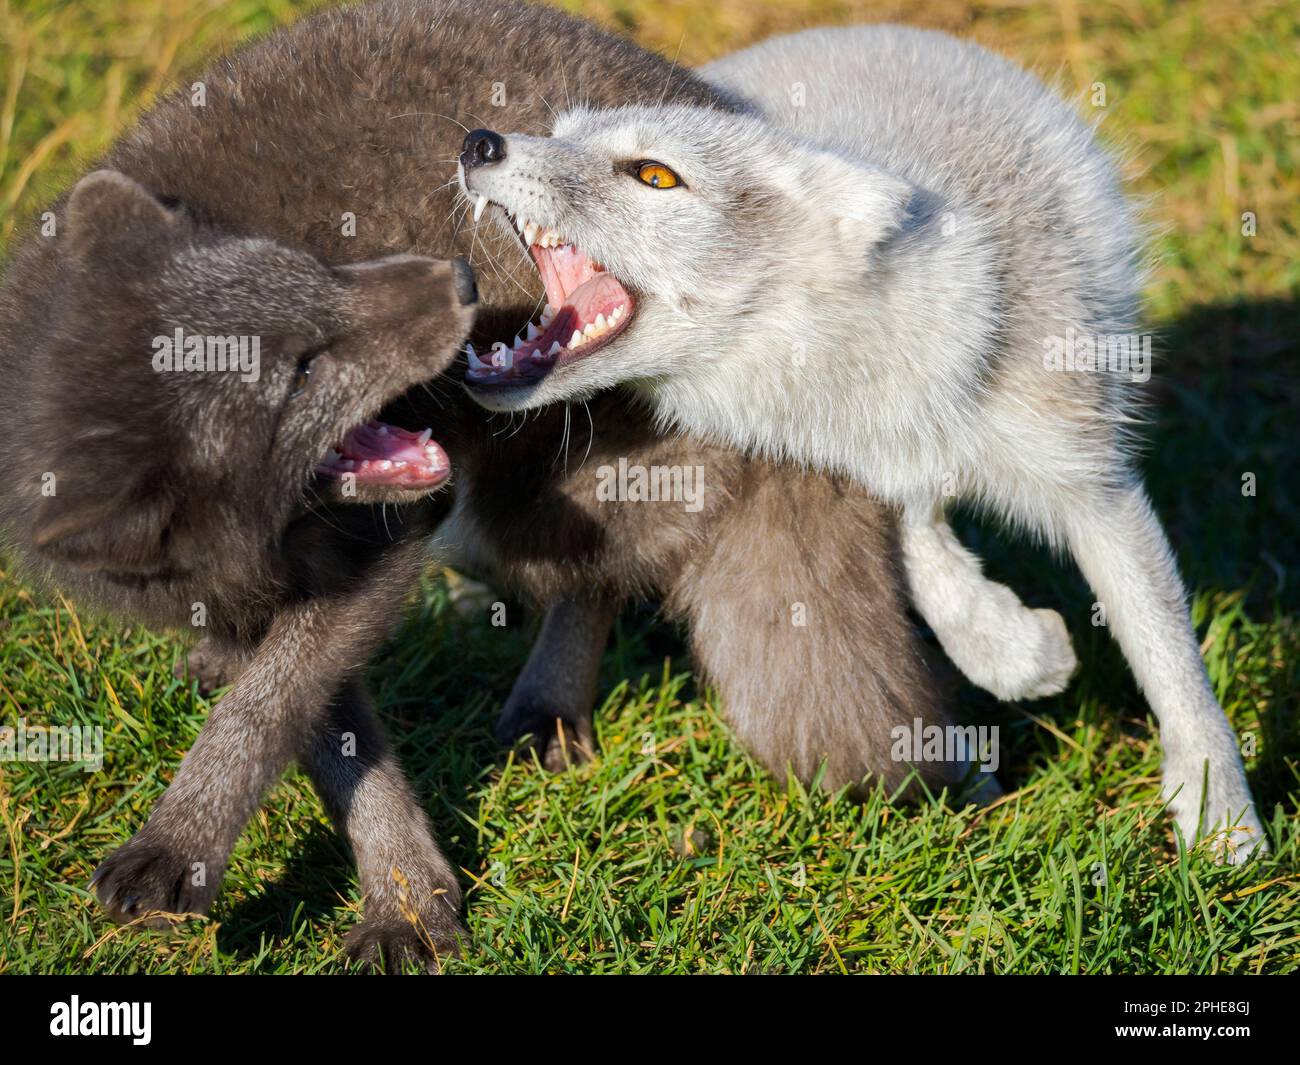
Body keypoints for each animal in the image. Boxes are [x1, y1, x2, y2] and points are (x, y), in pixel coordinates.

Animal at [457, 23, 1265, 861]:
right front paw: (1016, 649)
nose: (479, 142)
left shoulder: (1085, 472)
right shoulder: (865, 457)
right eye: (562, 136)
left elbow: (1167, 654)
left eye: (654, 174)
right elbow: (925, 552)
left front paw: (1221, 812)